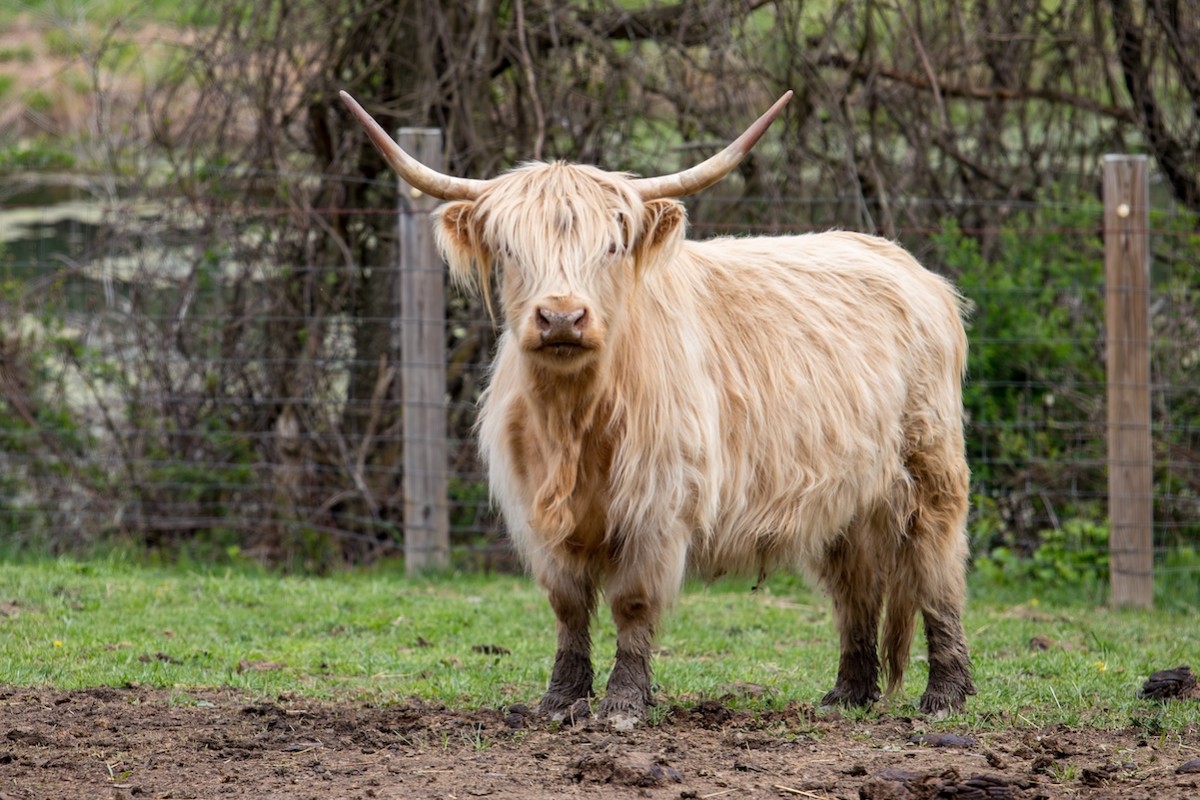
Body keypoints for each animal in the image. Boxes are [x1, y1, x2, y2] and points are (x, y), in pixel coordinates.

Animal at [340, 89, 975, 725]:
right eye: (511, 250)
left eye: (612, 247)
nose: (562, 318)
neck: (574, 422)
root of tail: (909, 265)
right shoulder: (536, 508)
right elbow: (568, 604)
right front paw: (560, 699)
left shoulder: (658, 503)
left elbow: (633, 602)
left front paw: (623, 701)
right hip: (848, 497)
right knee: (855, 585)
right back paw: (848, 695)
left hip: (929, 470)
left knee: (937, 572)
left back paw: (944, 695)